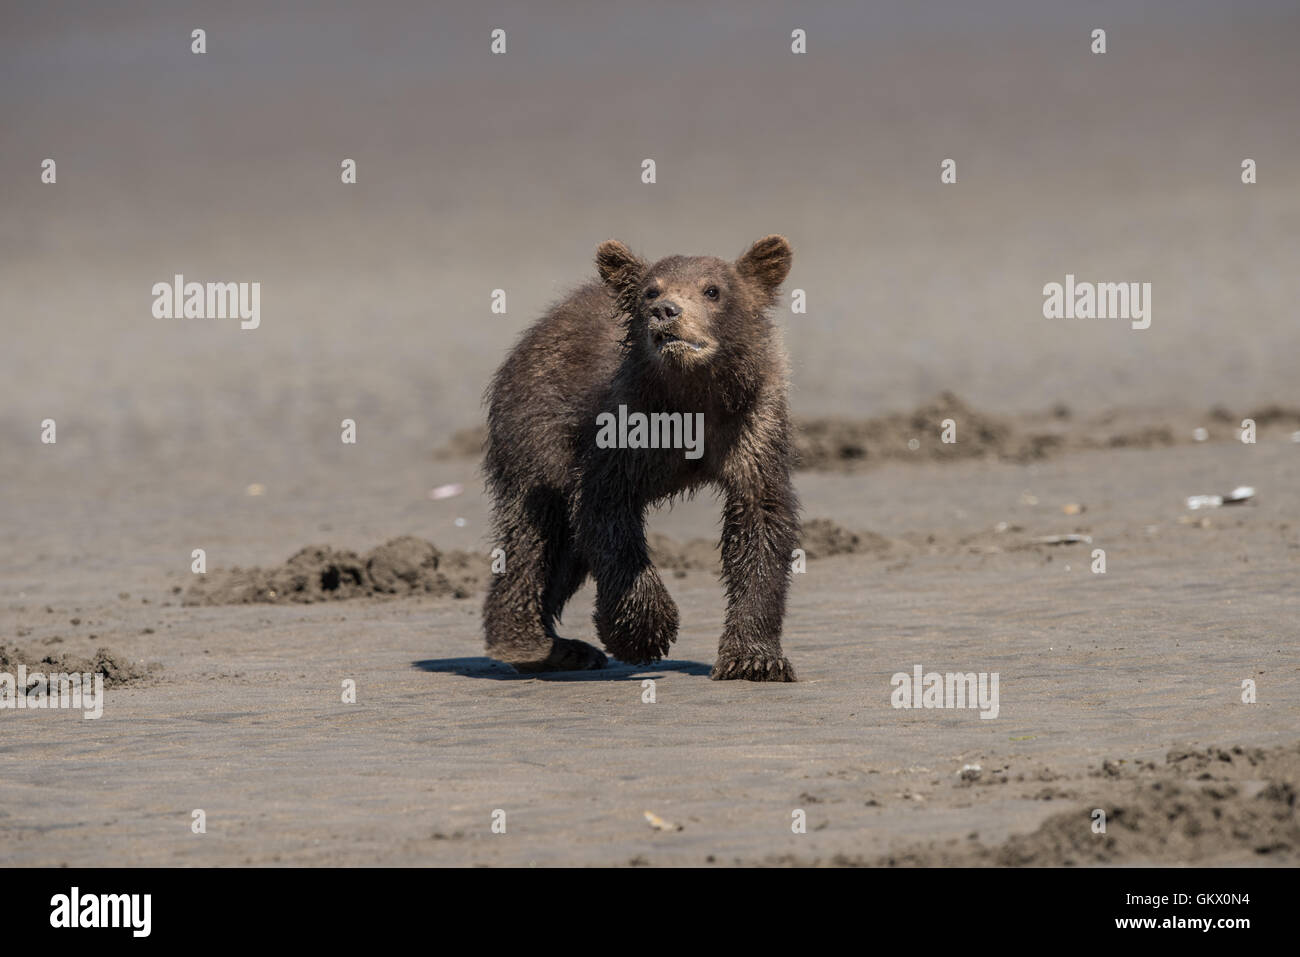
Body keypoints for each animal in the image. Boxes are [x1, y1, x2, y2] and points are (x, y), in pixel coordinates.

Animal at [481, 235, 800, 681]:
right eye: (651, 290)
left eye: (712, 290)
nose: (665, 311)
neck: (694, 397)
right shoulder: (627, 426)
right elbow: (605, 510)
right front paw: (645, 632)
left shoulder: (752, 423)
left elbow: (761, 518)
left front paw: (754, 658)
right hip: (537, 433)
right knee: (538, 536)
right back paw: (533, 644)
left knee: (562, 552)